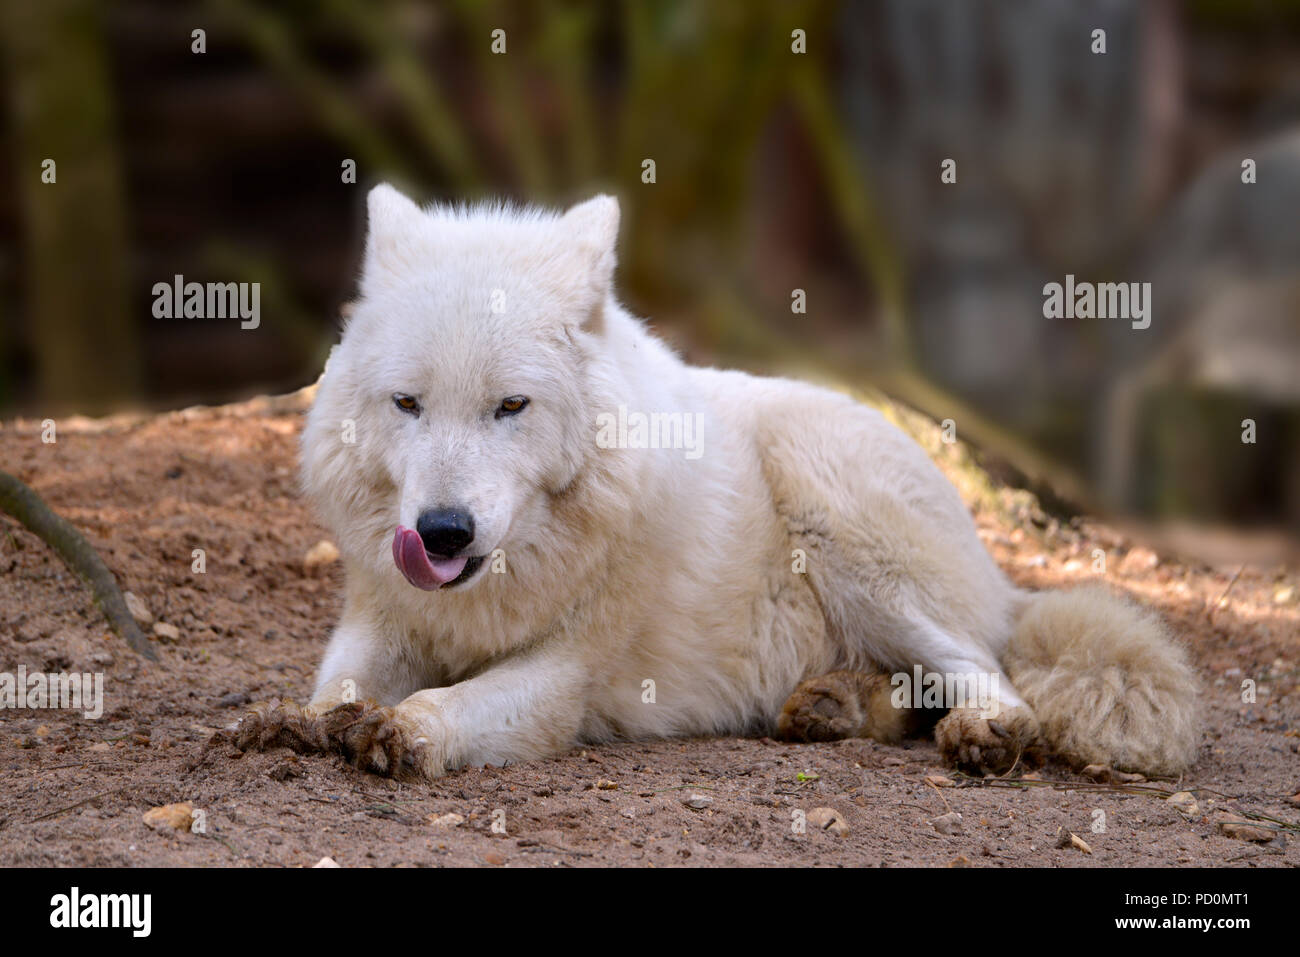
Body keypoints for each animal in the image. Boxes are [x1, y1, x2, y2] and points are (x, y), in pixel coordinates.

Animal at [234, 184, 1201, 779]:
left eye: (510, 406)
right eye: (408, 403)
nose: (442, 531)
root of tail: (1001, 582)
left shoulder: (565, 675)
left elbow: (451, 701)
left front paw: (404, 728)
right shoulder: (381, 617)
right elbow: (337, 684)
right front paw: (297, 719)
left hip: (833, 505)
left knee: (985, 667)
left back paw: (985, 730)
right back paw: (836, 705)